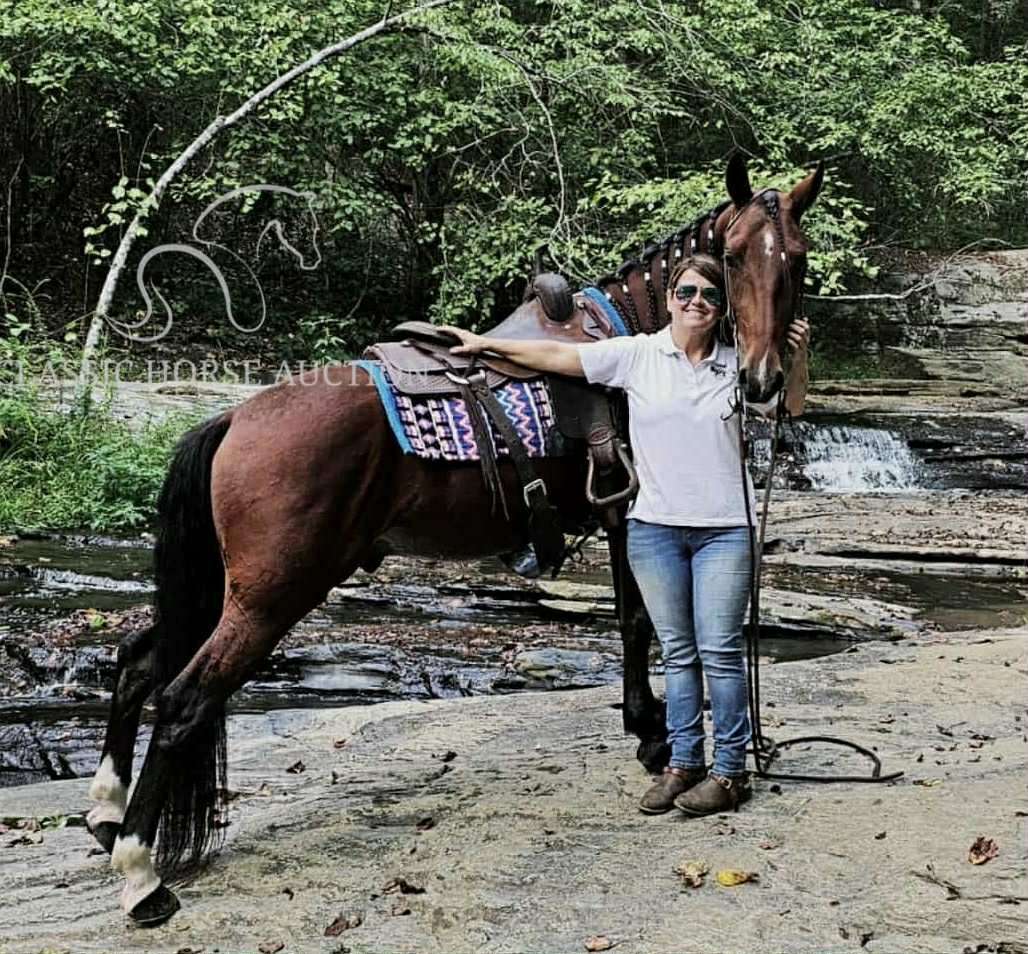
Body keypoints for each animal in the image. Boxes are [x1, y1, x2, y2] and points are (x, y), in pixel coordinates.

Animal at [85, 155, 823, 924]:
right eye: (731, 257)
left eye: (798, 260)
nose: (763, 378)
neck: (637, 333)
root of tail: (232, 418)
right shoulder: (628, 514)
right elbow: (636, 622)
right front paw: (651, 733)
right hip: (270, 596)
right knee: (181, 700)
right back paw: (141, 875)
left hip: (227, 590)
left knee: (137, 661)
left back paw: (106, 815)